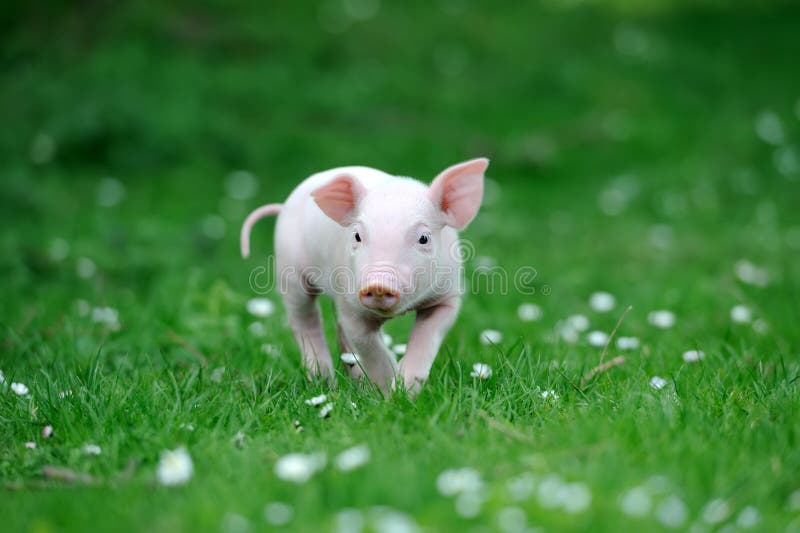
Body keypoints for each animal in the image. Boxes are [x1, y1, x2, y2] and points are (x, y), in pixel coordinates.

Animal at [240, 158, 489, 393]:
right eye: (357, 236)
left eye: (424, 238)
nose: (379, 284)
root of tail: (283, 207)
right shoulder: (350, 303)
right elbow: (368, 346)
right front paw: (388, 394)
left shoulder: (447, 296)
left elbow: (426, 336)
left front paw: (404, 392)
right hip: (289, 271)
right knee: (304, 320)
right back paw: (324, 382)